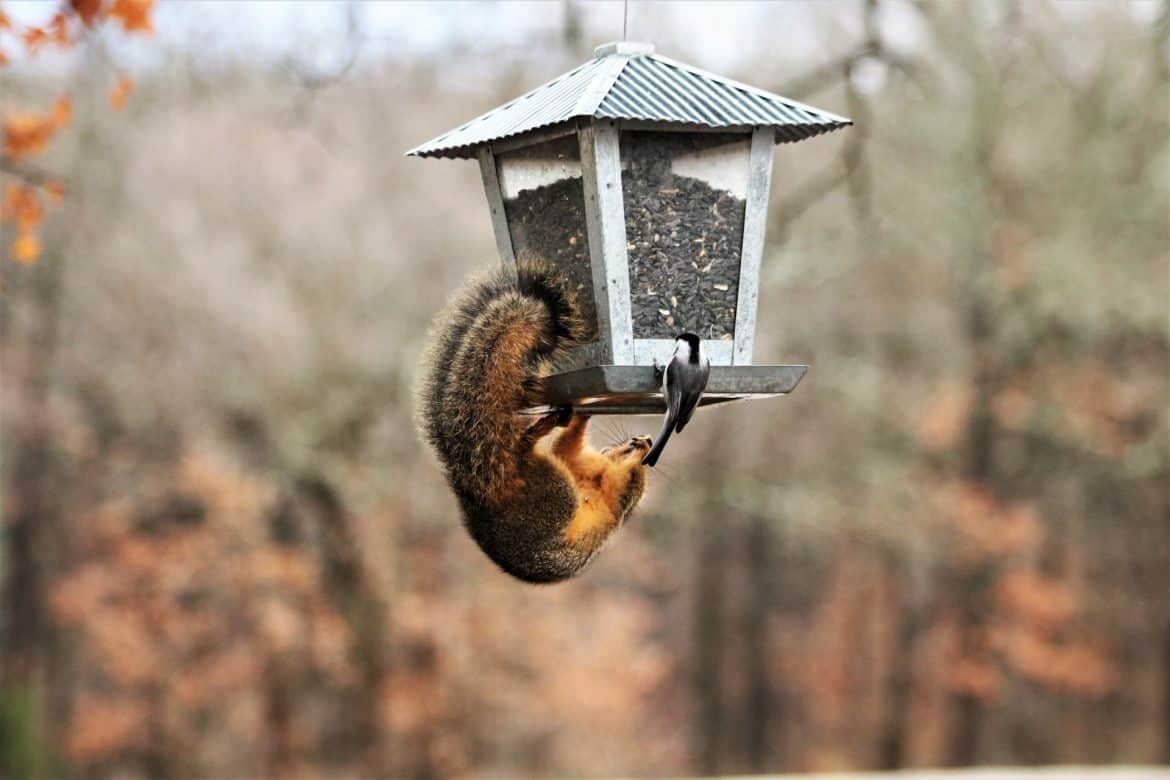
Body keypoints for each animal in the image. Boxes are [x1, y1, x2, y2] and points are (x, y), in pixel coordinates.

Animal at [416, 258, 652, 584]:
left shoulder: (619, 495)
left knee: (526, 451)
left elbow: (618, 482)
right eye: (623, 442)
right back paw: (545, 425)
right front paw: (584, 411)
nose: (644, 440)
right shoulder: (585, 466)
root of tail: (487, 494)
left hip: (556, 496)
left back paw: (537, 431)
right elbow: (568, 448)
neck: (601, 472)